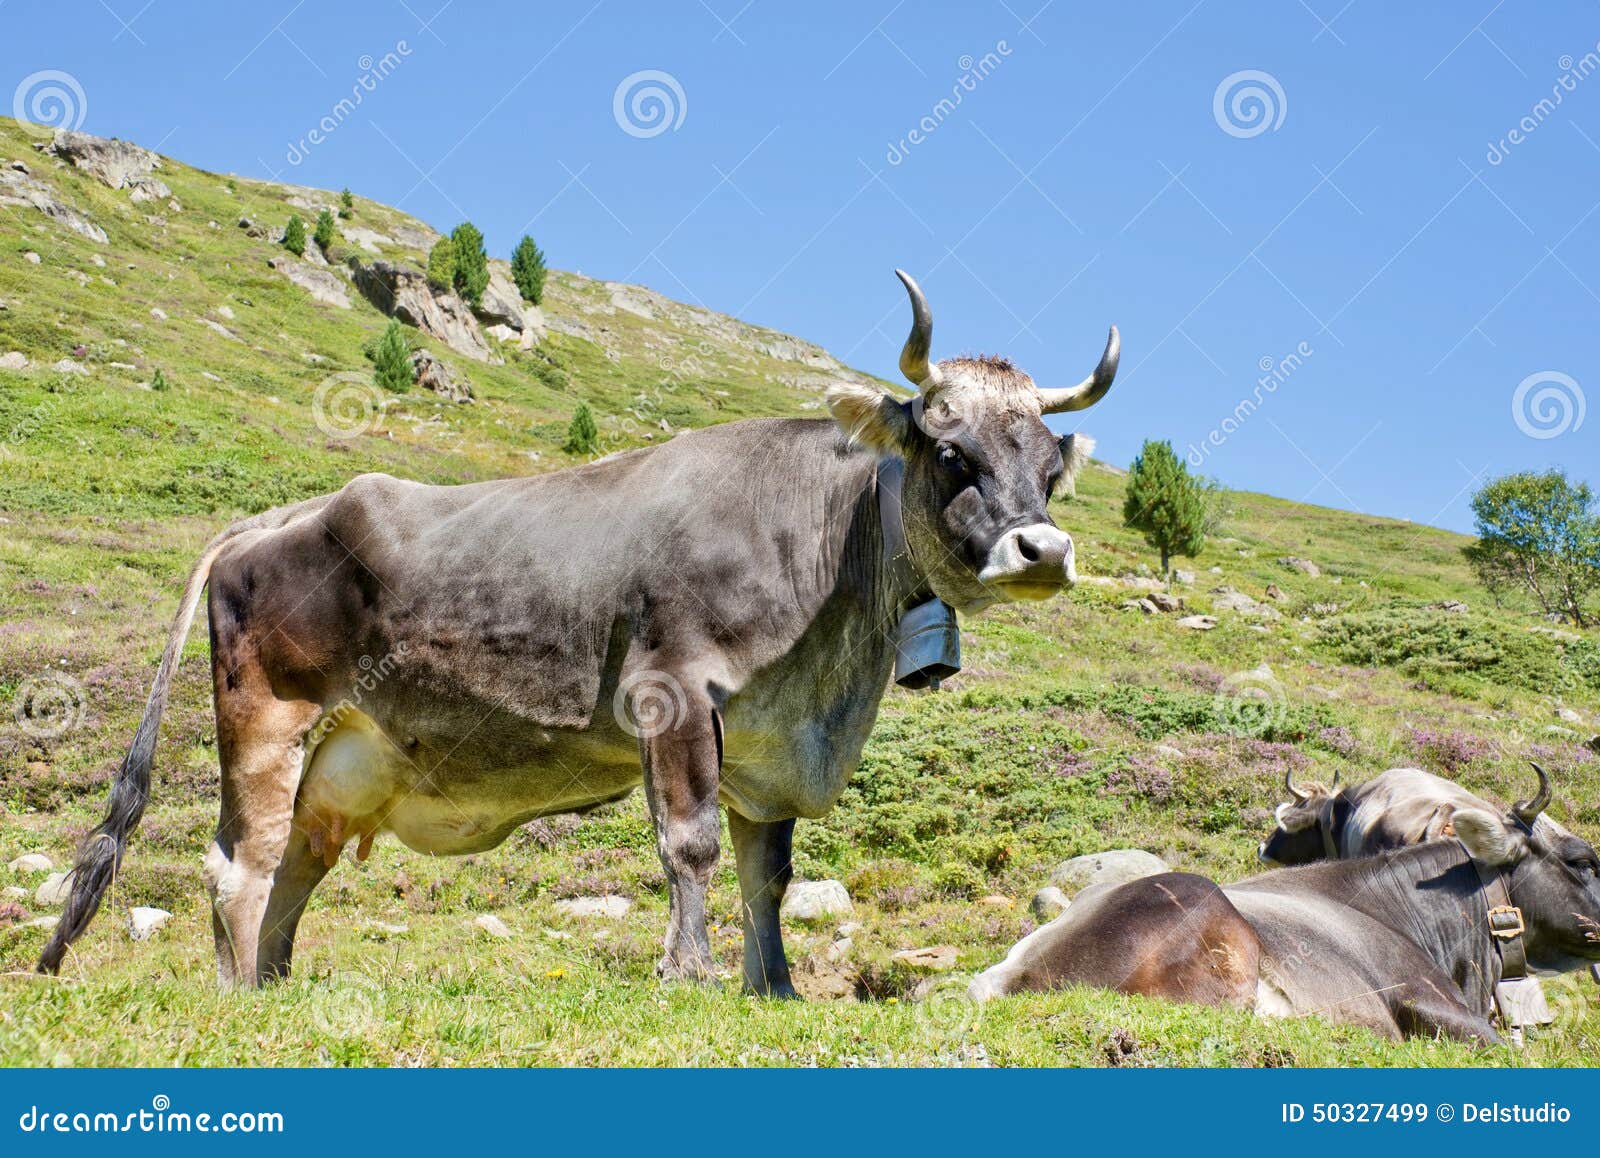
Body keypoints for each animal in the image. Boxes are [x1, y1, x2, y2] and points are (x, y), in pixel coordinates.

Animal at [39, 271, 1120, 998]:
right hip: (264, 708)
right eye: (951, 452)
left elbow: (768, 874)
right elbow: (690, 845)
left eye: (1049, 469)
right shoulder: (673, 689)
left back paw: (273, 980)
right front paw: (689, 974)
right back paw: (236, 991)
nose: (1042, 548)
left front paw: (769, 986)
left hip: (353, 748)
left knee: (303, 852)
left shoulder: (774, 739)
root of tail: (286, 511)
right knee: (243, 855)